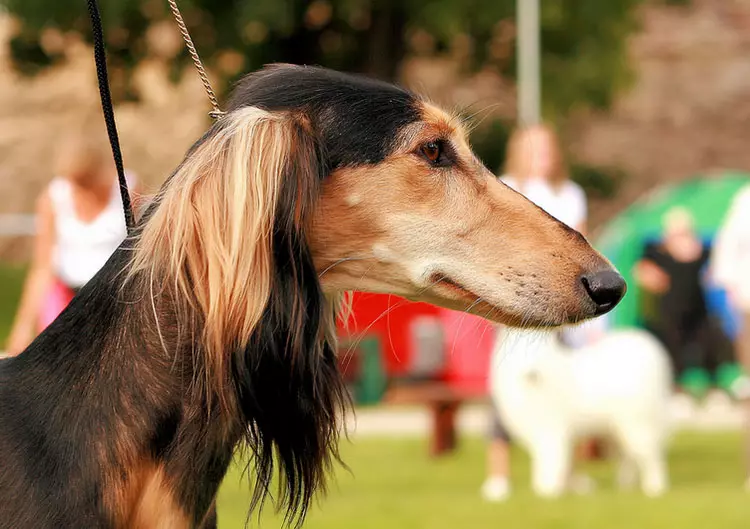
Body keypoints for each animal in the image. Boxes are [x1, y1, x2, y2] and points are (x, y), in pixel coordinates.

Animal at [494, 328, 676, 498]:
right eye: (520, 352)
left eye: (536, 351)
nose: (531, 371)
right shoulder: (540, 434)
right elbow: (546, 462)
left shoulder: (553, 431)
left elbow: (553, 460)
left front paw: (548, 490)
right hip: (618, 430)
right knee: (629, 457)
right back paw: (624, 484)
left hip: (637, 424)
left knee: (652, 456)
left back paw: (654, 487)